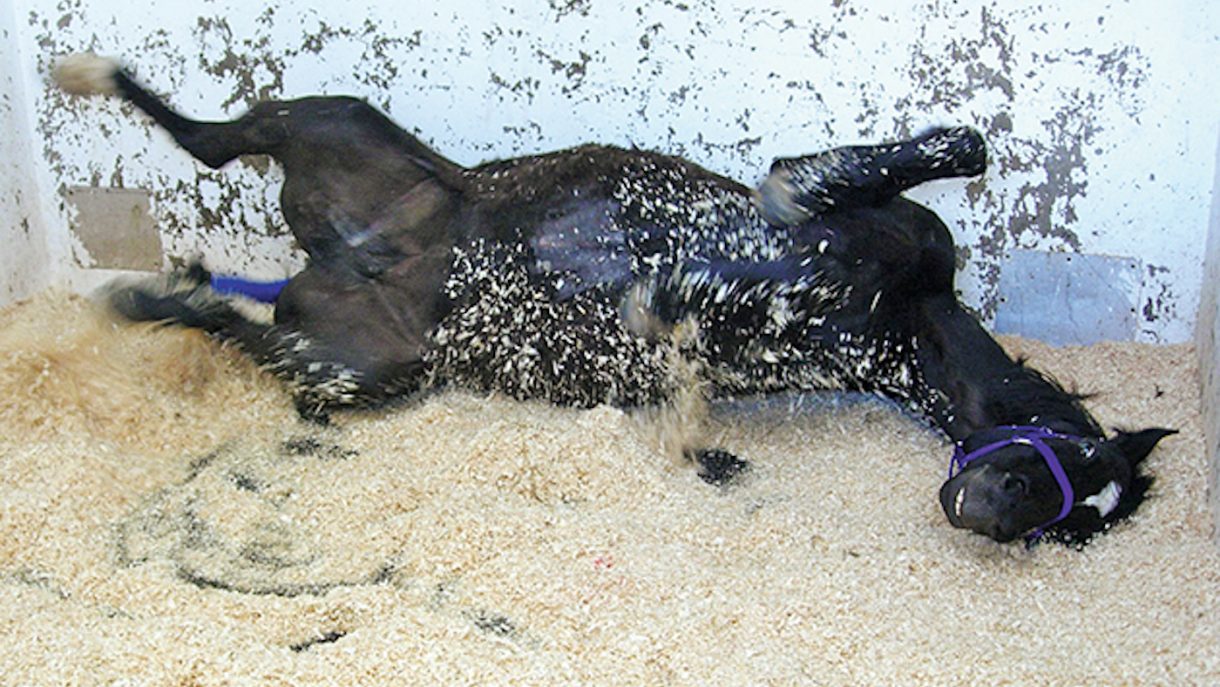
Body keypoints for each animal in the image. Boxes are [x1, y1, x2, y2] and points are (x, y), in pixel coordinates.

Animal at [53, 53, 1173, 546]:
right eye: (1058, 465)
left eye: (1062, 527)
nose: (977, 509)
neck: (906, 321)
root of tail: (334, 262)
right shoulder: (832, 202)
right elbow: (938, 150)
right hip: (331, 124)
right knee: (204, 144)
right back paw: (97, 91)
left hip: (356, 365)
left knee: (234, 317)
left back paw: (161, 291)